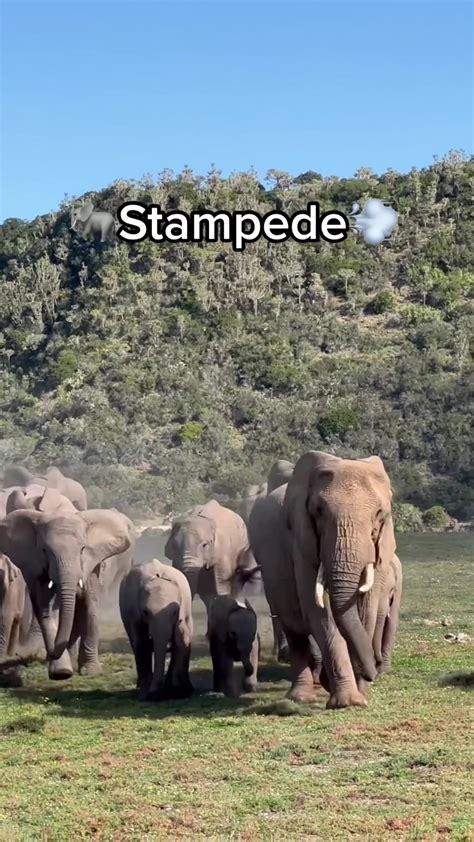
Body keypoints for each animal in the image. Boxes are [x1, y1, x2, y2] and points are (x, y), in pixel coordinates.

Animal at [0, 506, 136, 680]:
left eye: (83, 549)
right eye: (45, 550)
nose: (51, 653)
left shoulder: (92, 565)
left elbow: (89, 608)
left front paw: (90, 671)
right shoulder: (36, 565)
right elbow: (45, 609)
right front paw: (61, 671)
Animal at [119, 559, 193, 701]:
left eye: (175, 612)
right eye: (146, 612)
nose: (155, 695)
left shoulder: (183, 610)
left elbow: (181, 639)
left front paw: (179, 692)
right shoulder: (134, 612)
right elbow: (141, 644)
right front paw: (145, 695)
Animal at [248, 451, 398, 709]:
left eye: (379, 514)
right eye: (318, 511)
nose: (372, 673)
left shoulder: (379, 549)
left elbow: (366, 610)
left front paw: (360, 696)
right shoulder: (302, 542)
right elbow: (320, 613)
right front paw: (348, 702)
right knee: (293, 626)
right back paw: (300, 696)